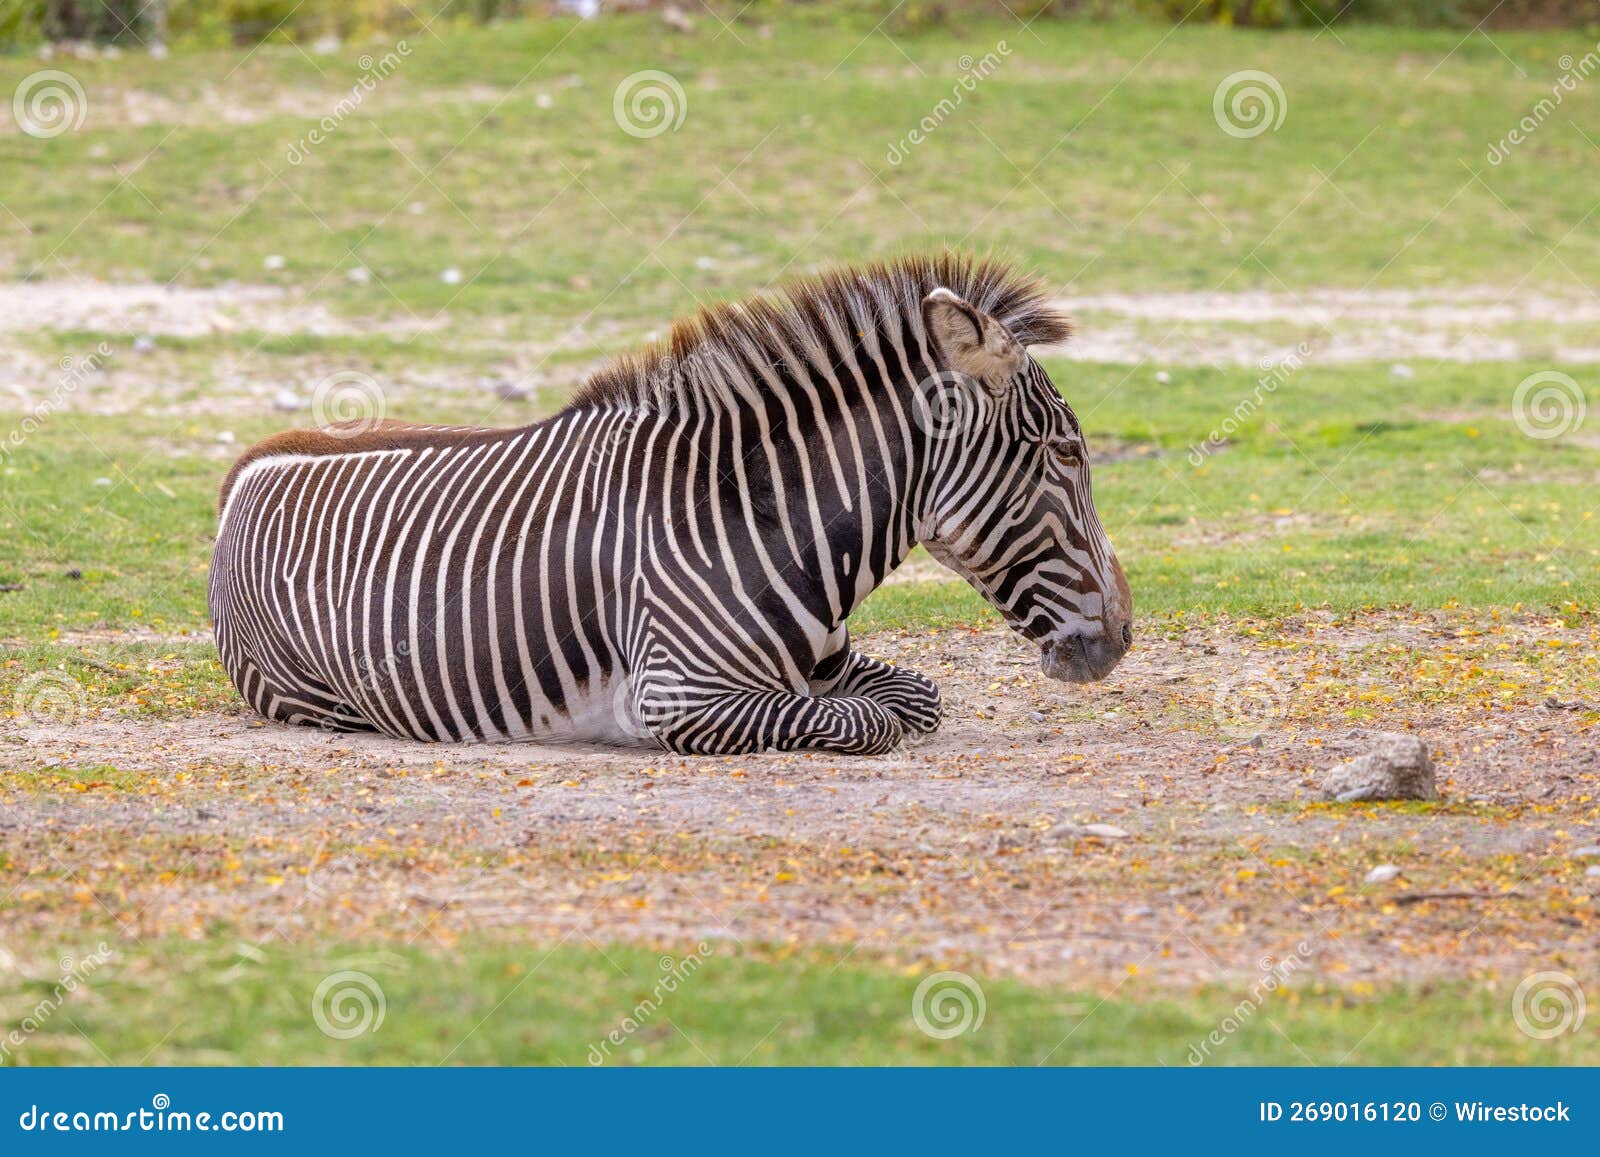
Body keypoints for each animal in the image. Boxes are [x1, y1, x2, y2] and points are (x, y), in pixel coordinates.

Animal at [209, 253, 1132, 755]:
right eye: (1065, 454)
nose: (1123, 636)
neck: (759, 524)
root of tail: (250, 464)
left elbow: (913, 696)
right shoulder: (681, 695)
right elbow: (863, 721)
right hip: (315, 695)